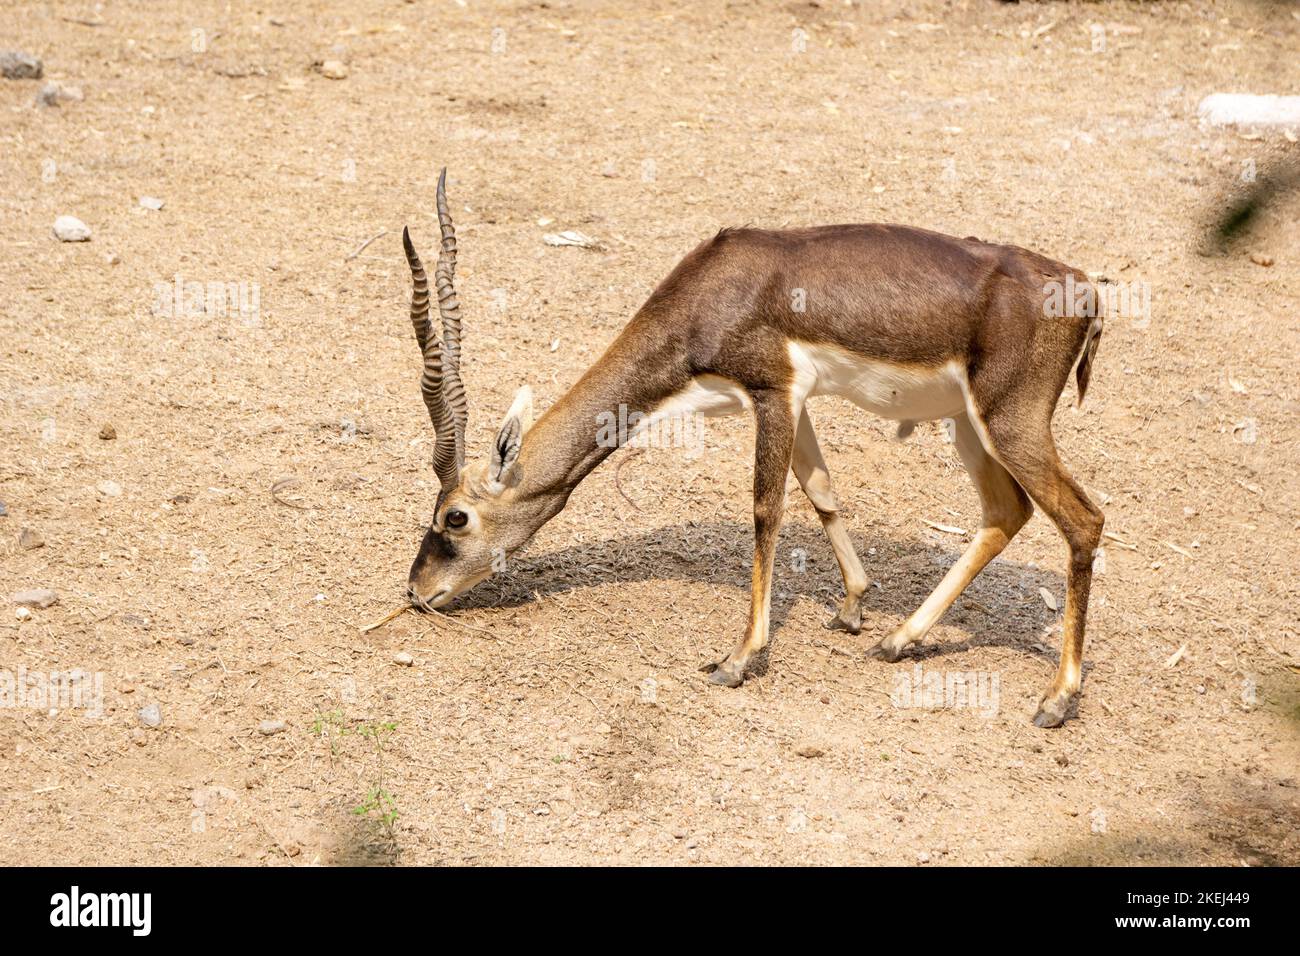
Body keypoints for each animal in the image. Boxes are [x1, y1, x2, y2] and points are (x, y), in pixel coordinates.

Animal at [400, 169, 1105, 728]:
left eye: (455, 517)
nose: (418, 591)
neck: (713, 295)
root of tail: (1084, 288)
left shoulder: (772, 393)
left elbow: (767, 511)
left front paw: (739, 659)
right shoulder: (799, 401)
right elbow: (821, 490)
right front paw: (854, 606)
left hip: (1009, 423)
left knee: (1083, 520)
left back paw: (1057, 699)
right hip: (967, 422)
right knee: (1005, 512)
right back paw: (898, 640)